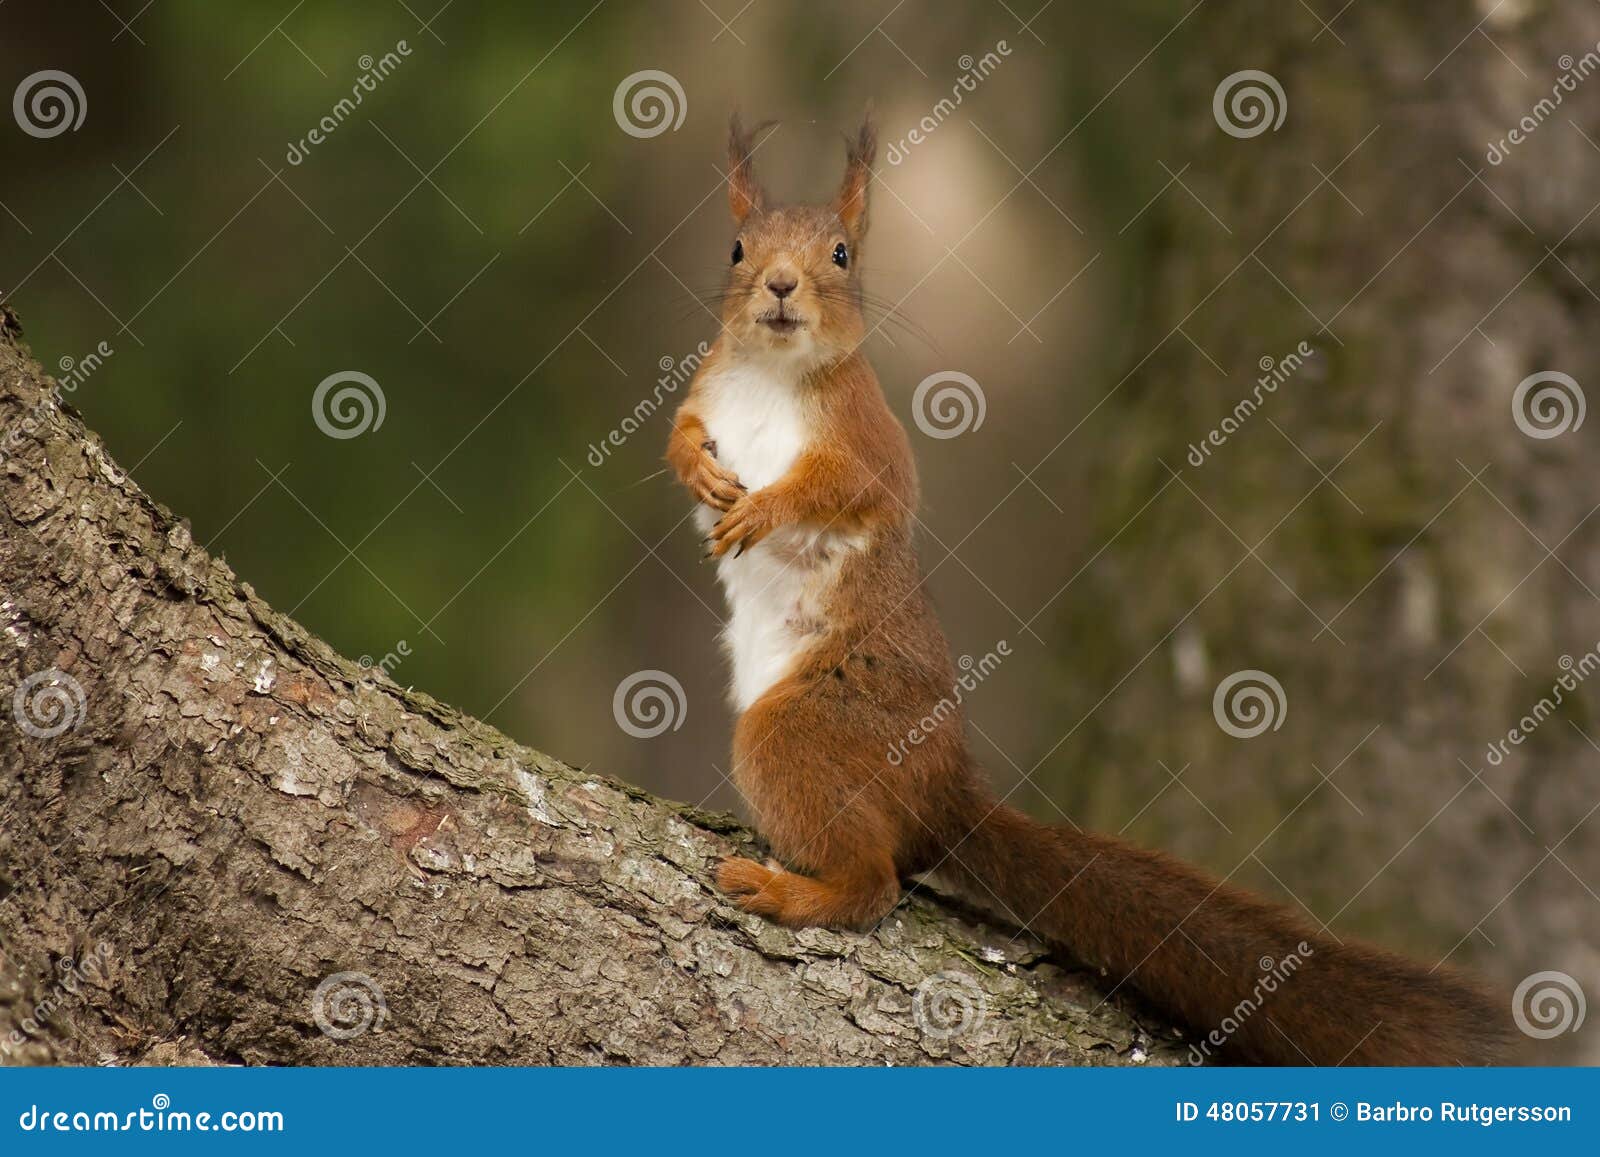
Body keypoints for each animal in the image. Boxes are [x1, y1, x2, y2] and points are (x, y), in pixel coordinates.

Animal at [665, 113, 1511, 1066]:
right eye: (737, 247)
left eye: (842, 254)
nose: (780, 285)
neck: (773, 375)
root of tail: (943, 791)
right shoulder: (708, 387)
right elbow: (679, 429)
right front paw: (700, 469)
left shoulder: (869, 442)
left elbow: (841, 489)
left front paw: (762, 508)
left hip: (804, 730)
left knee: (872, 883)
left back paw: (791, 893)